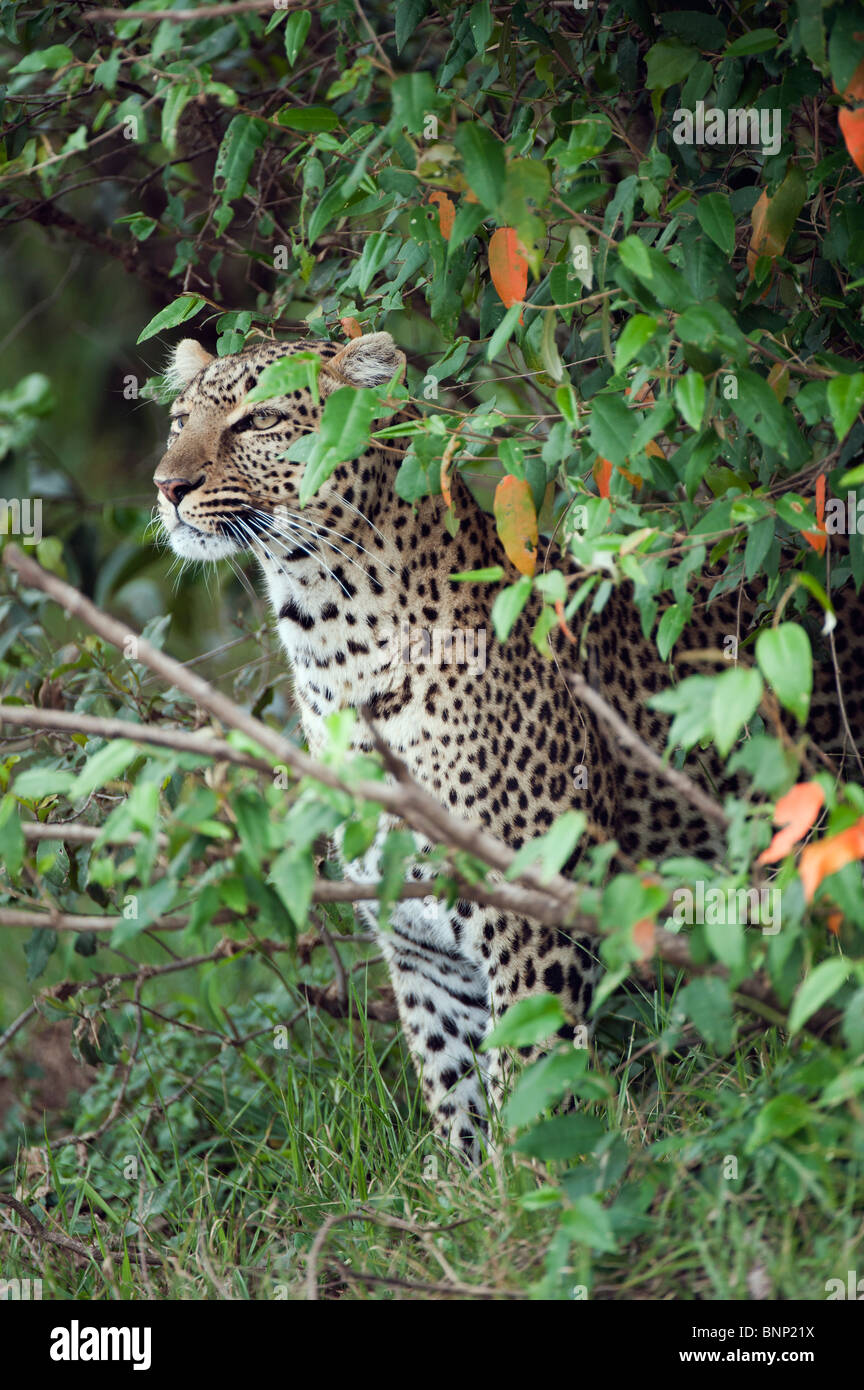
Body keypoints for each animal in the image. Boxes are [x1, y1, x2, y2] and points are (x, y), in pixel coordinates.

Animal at [153, 330, 864, 1160]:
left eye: (259, 420)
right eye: (179, 421)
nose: (168, 486)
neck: (331, 645)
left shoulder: (533, 913)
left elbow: (529, 1073)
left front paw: (528, 1174)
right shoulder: (418, 941)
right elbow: (449, 1076)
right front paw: (465, 1178)